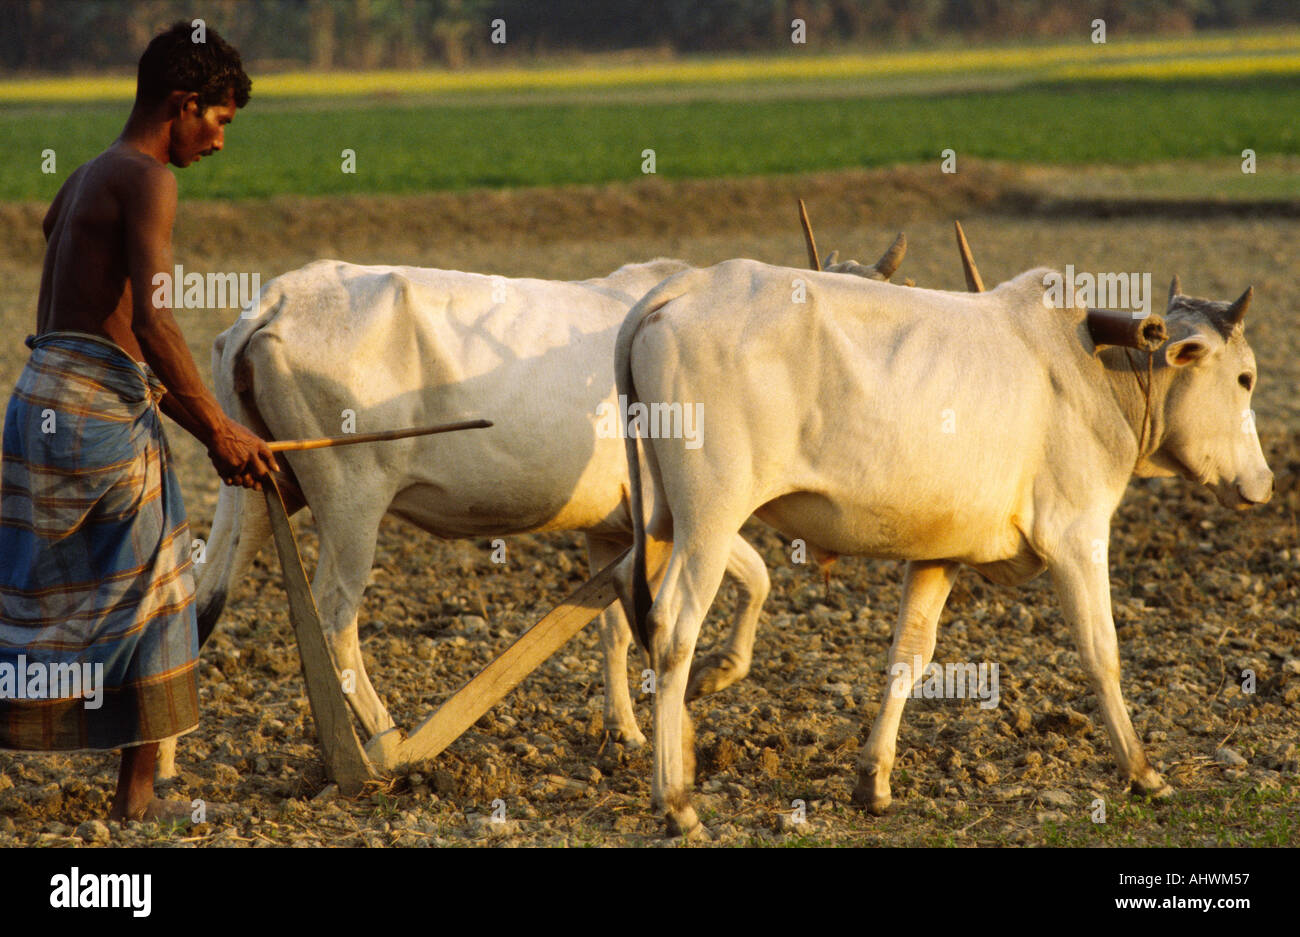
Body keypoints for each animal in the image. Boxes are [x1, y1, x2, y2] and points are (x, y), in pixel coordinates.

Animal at [158, 238, 910, 778]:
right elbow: (756, 579)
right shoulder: (684, 515)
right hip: (351, 497)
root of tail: (274, 302)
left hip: (258, 487)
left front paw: (626, 730)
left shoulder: (614, 528)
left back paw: (165, 767)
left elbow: (613, 626)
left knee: (201, 599)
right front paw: (713, 676)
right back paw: (385, 743)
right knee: (336, 617)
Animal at [612, 255, 1271, 837]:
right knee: (672, 628)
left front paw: (873, 781)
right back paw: (676, 803)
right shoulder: (1078, 534)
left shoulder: (940, 553)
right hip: (710, 518)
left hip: (659, 517)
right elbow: (1100, 651)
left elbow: (910, 654)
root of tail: (684, 286)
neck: (1103, 370)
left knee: (628, 598)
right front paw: (1143, 772)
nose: (1263, 484)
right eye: (1245, 378)